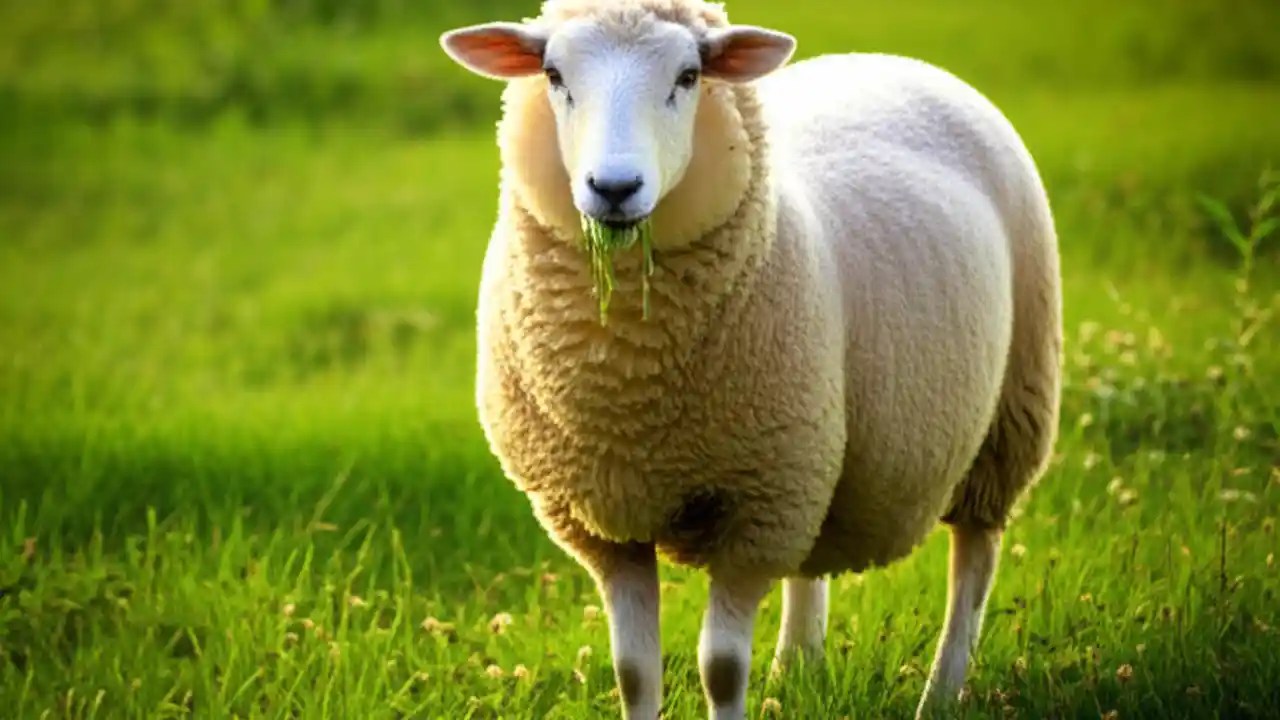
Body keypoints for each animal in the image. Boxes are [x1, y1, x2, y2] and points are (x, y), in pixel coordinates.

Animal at [439, 1, 1062, 718]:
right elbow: (634, 671)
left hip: (1009, 412)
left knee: (974, 560)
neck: (628, 382)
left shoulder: (756, 507)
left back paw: (940, 691)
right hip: (817, 452)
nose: (614, 187)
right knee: (815, 563)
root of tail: (892, 60)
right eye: (553, 75)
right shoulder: (611, 522)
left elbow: (721, 667)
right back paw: (795, 669)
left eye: (688, 76)